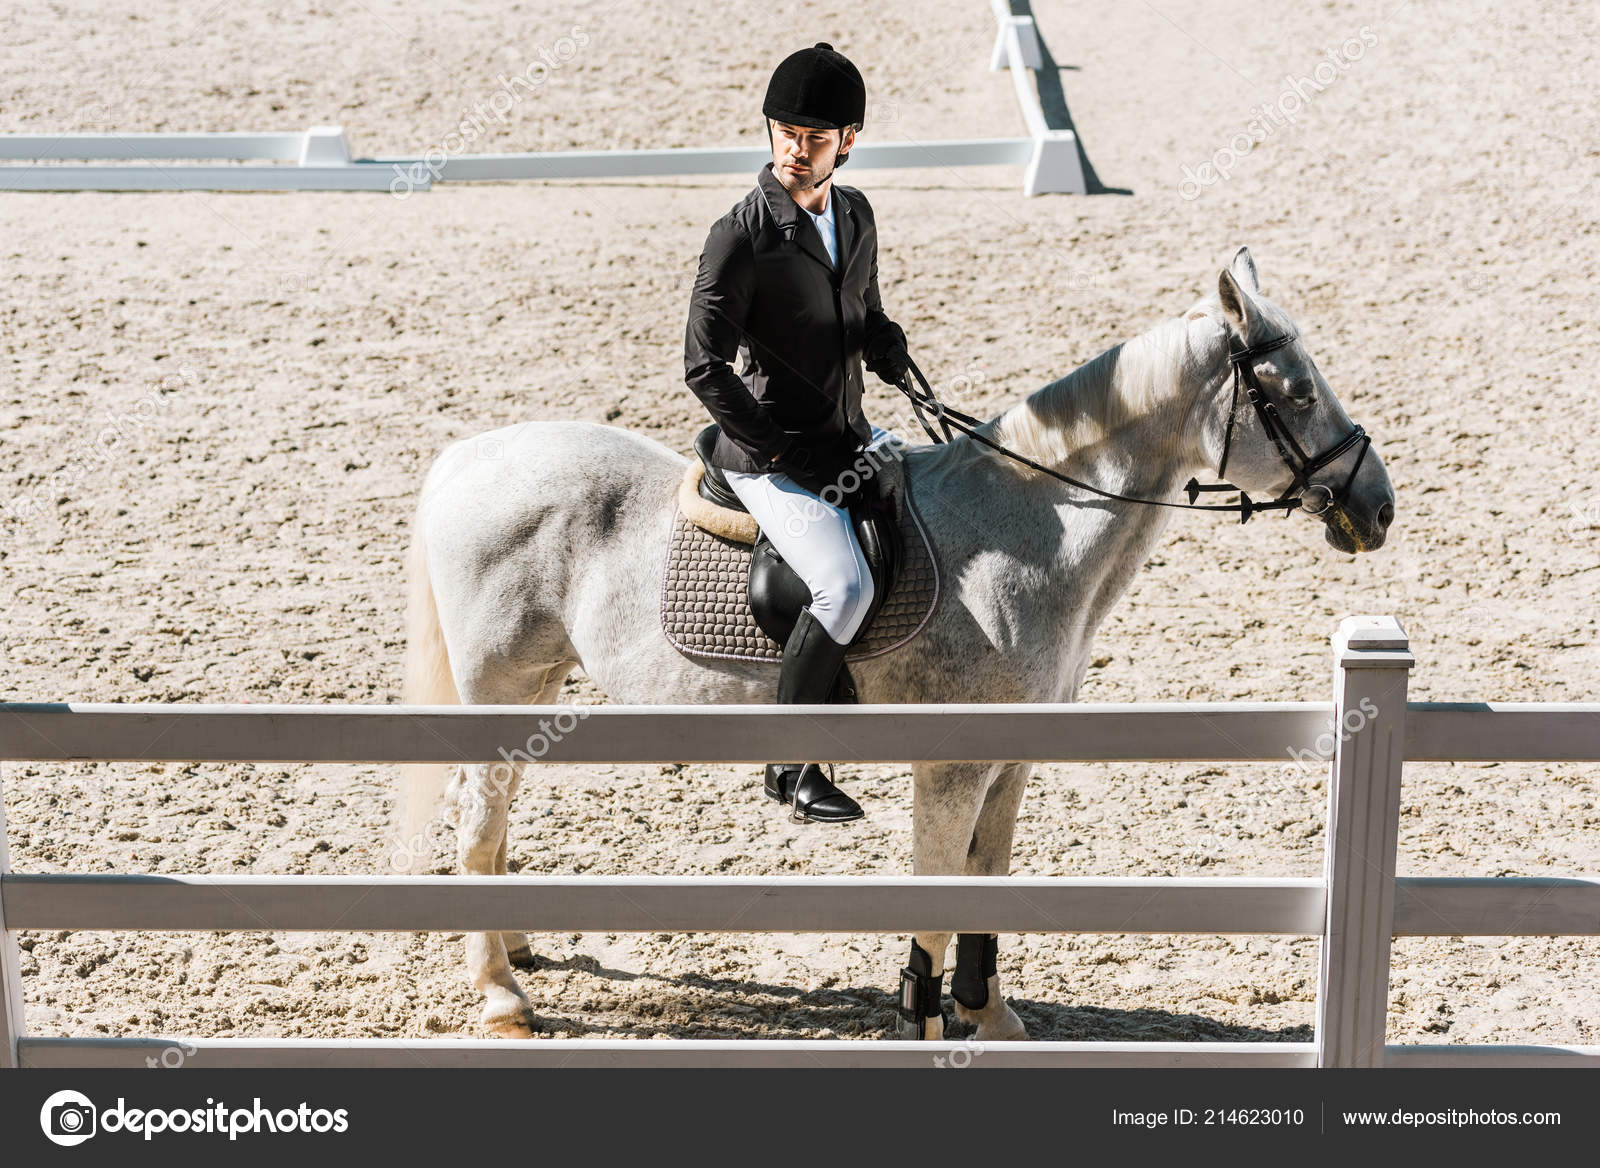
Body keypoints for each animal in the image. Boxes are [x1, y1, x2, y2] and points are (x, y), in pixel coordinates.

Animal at [396, 247, 1395, 1040]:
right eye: (1294, 392)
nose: (1378, 508)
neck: (1027, 526)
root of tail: (462, 459)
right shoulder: (949, 765)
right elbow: (938, 895)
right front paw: (923, 1018)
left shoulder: (1014, 759)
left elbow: (986, 886)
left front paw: (990, 1014)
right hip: (500, 690)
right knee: (478, 823)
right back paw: (502, 995)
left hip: (537, 692)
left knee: (489, 819)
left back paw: (516, 944)